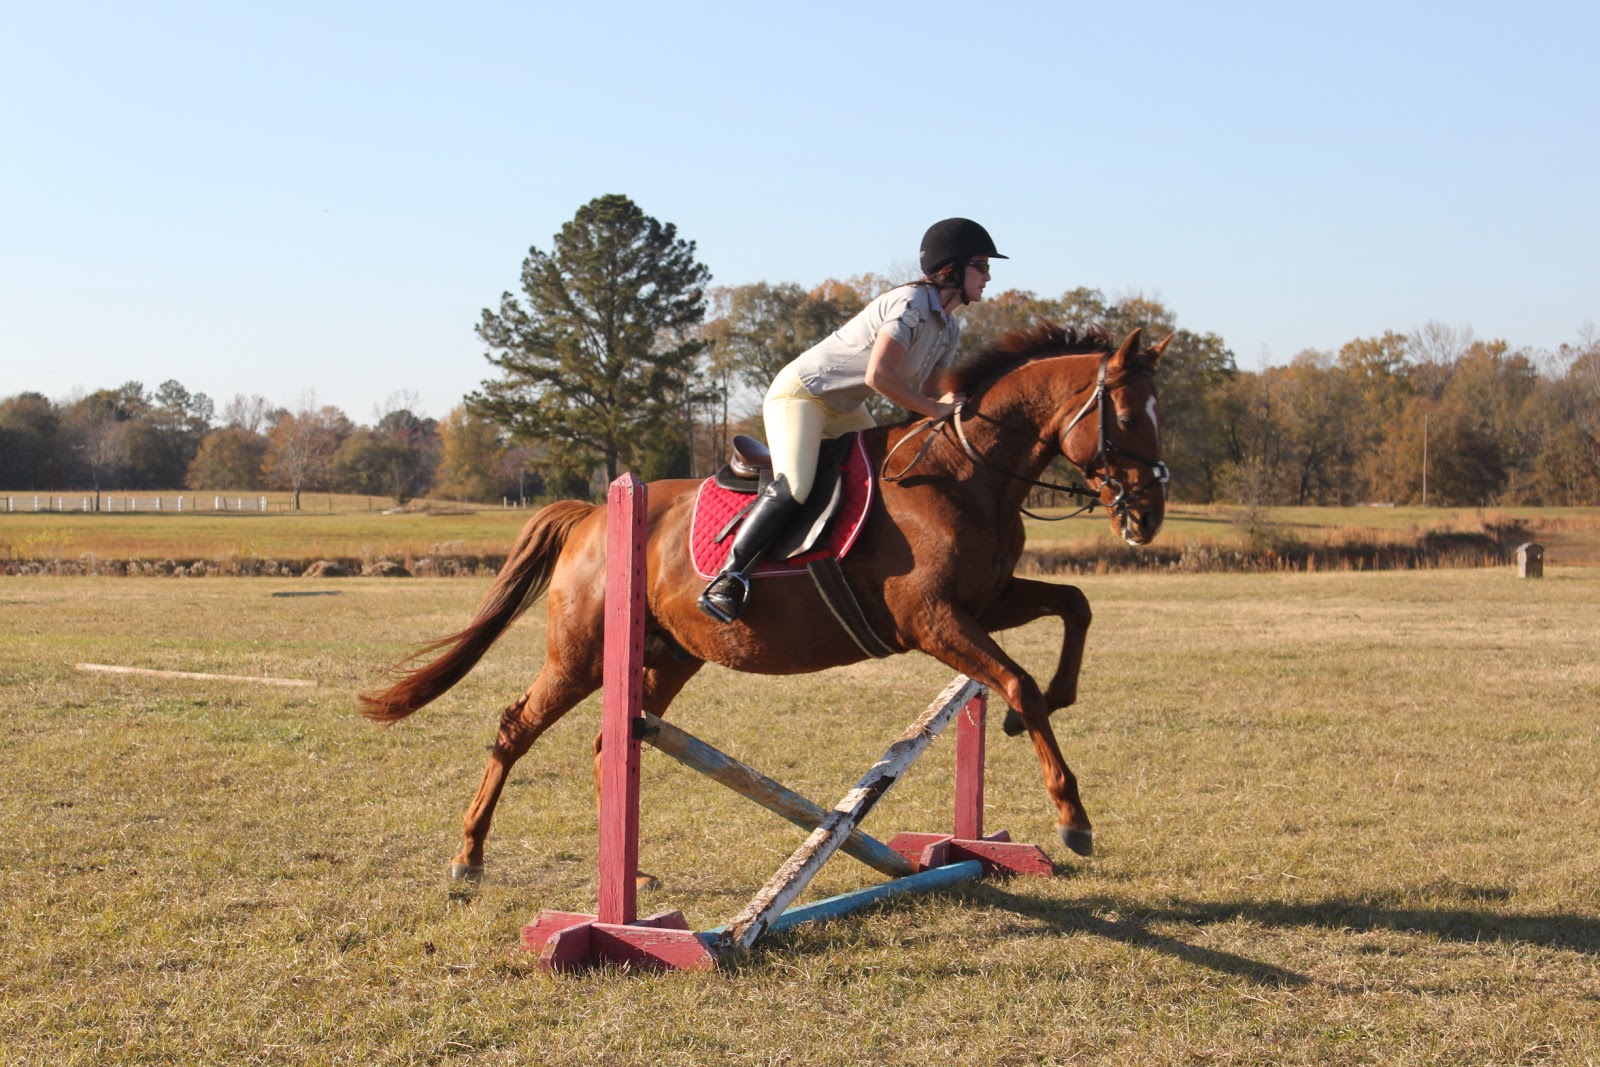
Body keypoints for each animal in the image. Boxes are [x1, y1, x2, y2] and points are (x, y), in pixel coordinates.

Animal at [360, 323, 1170, 879]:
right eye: (1131, 417)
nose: (1149, 515)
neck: (962, 471)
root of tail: (592, 515)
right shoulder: (932, 619)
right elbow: (1019, 680)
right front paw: (1072, 815)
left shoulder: (986, 601)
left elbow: (1074, 607)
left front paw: (1042, 707)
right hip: (584, 653)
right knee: (516, 727)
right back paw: (469, 856)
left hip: (666, 657)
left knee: (607, 744)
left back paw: (634, 873)